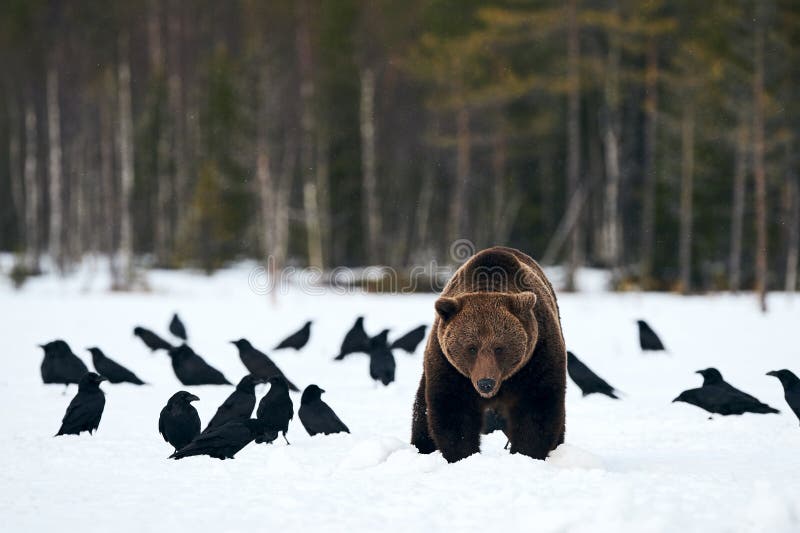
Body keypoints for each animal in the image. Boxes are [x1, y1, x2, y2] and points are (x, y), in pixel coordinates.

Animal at [411, 246, 567, 463]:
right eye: (471, 348)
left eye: (499, 348)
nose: (486, 383)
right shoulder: (450, 368)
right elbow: (453, 411)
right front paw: (462, 455)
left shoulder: (536, 359)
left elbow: (536, 409)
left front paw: (527, 453)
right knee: (421, 411)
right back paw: (422, 445)